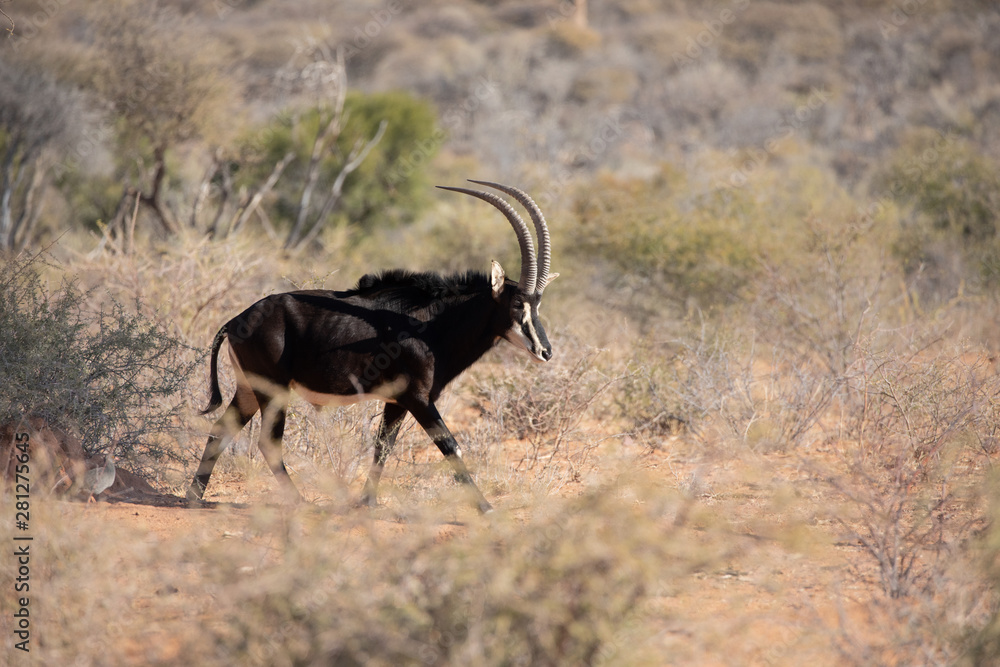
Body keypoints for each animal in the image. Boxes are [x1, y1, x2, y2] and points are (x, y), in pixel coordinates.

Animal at [187, 181, 556, 513]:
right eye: (516, 305)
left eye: (537, 305)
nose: (546, 352)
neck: (435, 323)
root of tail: (236, 320)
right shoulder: (418, 398)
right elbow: (451, 447)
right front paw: (486, 508)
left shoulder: (396, 401)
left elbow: (383, 447)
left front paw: (367, 503)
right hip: (272, 391)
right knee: (268, 441)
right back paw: (297, 501)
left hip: (249, 389)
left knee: (220, 431)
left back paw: (193, 497)